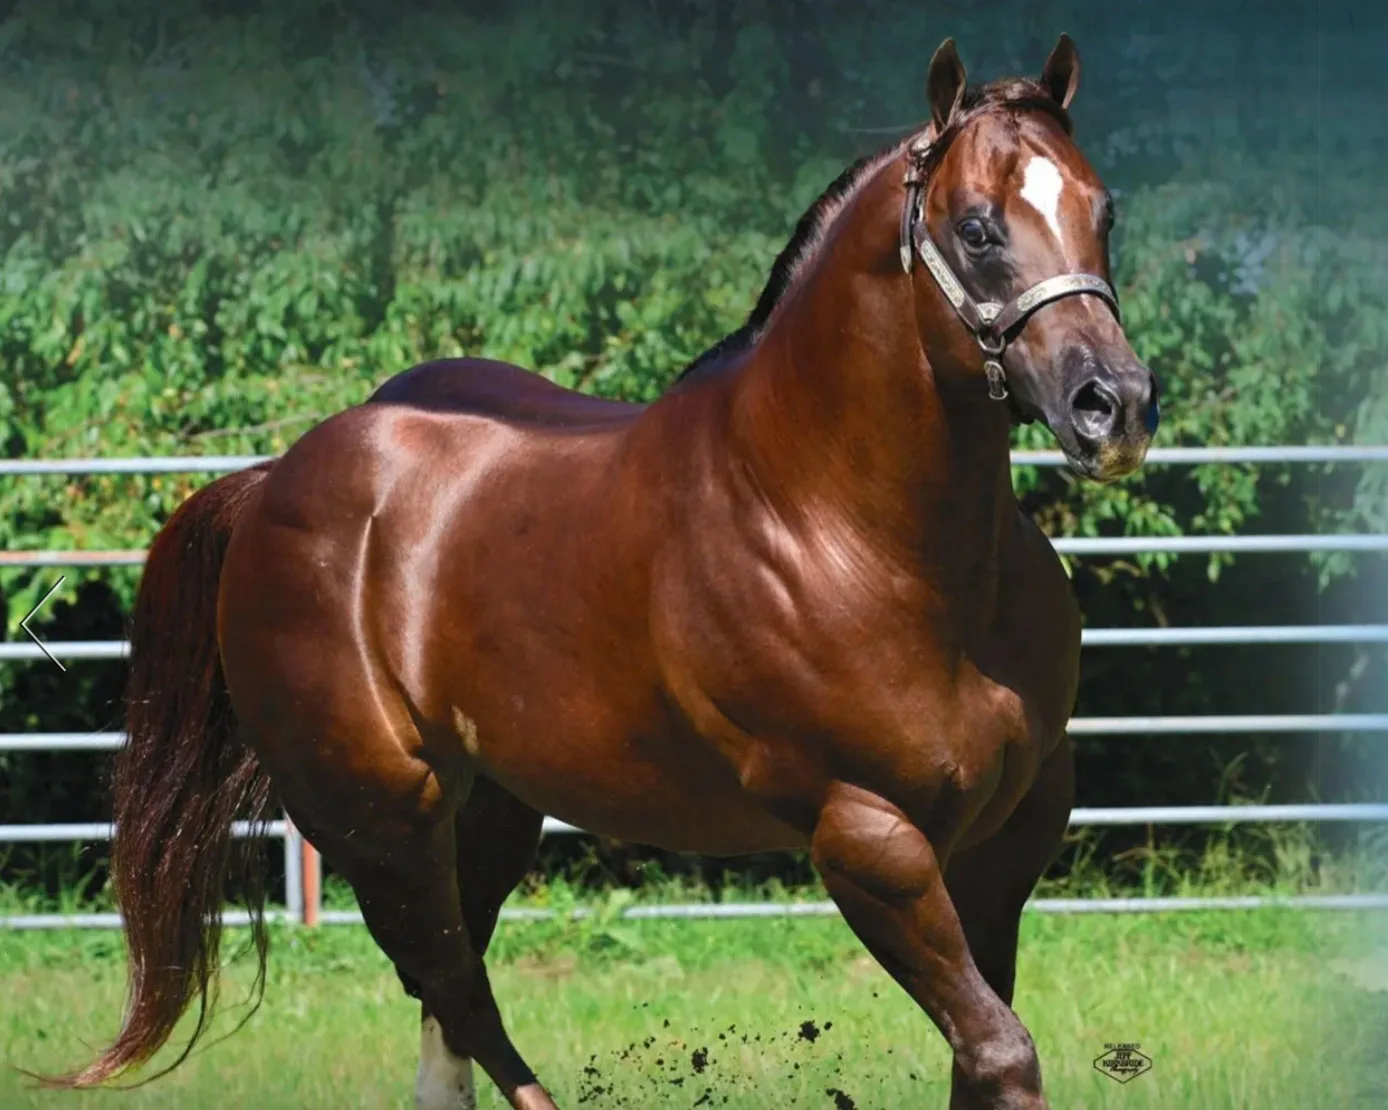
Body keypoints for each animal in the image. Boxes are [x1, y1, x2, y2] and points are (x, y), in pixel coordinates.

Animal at [42, 34, 1157, 1110]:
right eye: (976, 228)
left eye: (1103, 211)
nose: (1114, 406)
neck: (850, 531)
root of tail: (272, 482)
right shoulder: (868, 840)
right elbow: (1002, 1050)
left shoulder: (1010, 831)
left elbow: (978, 1057)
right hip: (380, 815)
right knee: (459, 992)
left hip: (487, 809)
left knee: (445, 1014)